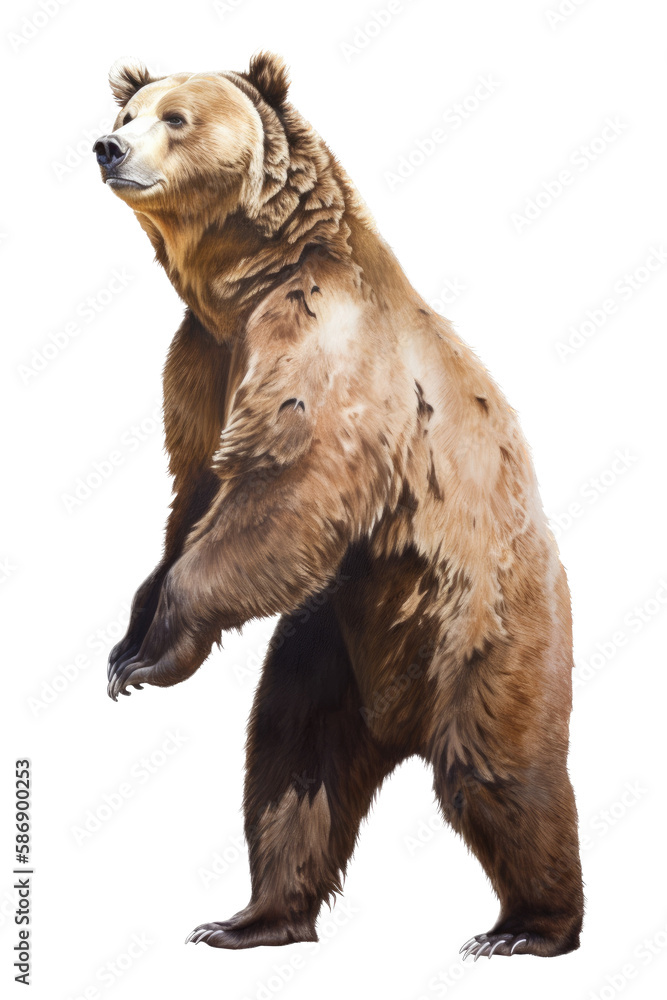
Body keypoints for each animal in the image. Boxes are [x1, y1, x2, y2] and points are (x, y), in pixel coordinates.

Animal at [94, 52, 584, 958]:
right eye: (131, 110)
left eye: (175, 117)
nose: (107, 147)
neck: (245, 287)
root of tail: (402, 720)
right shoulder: (202, 359)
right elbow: (193, 493)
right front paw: (125, 644)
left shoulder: (325, 343)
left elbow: (286, 484)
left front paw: (155, 653)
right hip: (334, 645)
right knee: (289, 763)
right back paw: (252, 918)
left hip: (482, 615)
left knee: (500, 769)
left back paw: (527, 928)